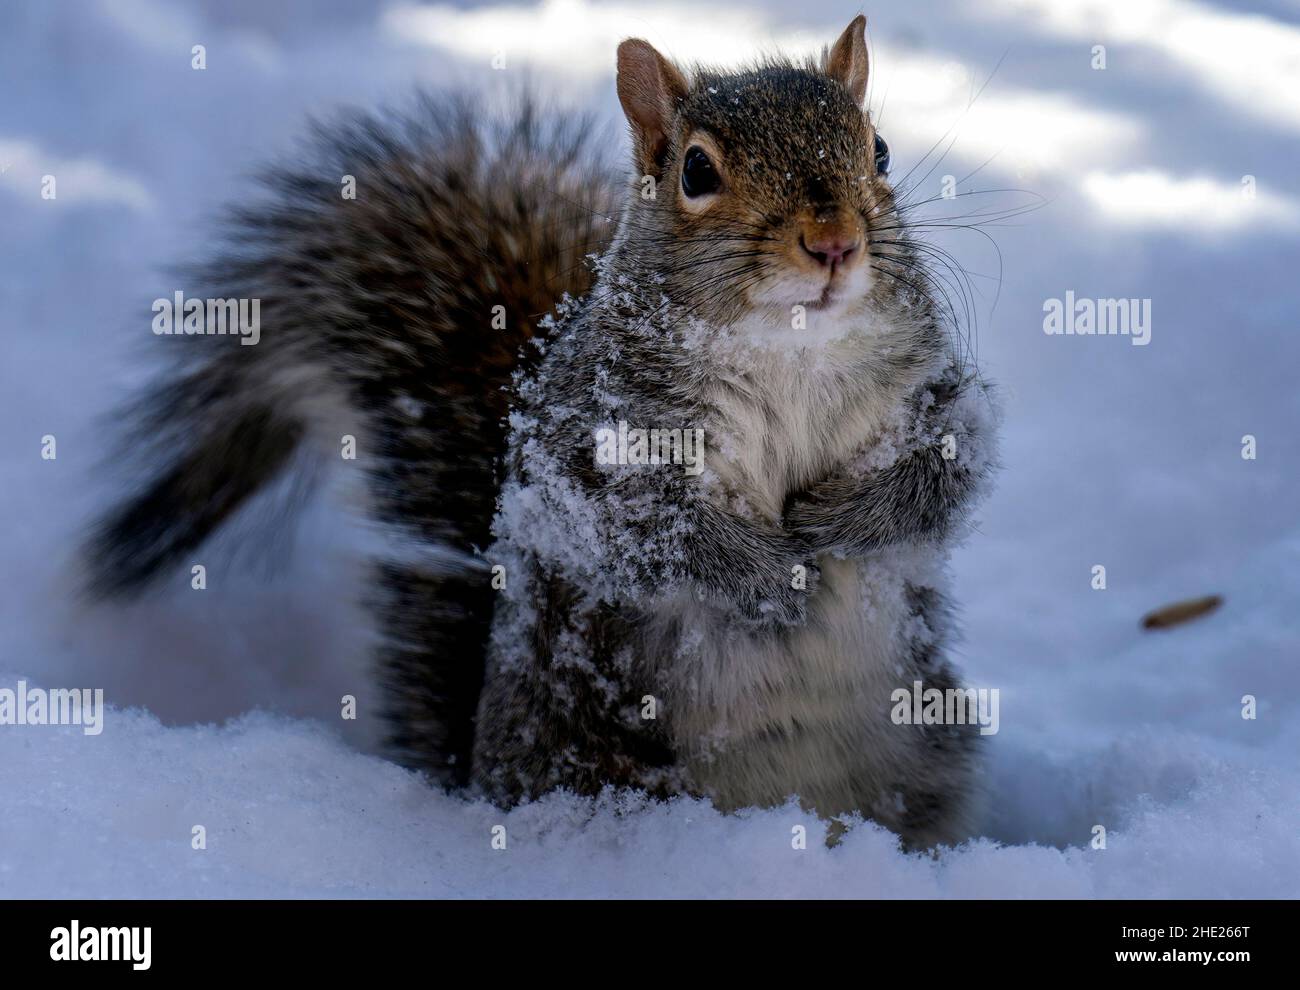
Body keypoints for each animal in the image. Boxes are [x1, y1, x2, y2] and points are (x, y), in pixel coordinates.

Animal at [85, 16, 998, 849]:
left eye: (879, 150)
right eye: (697, 170)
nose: (834, 243)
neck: (792, 350)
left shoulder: (930, 396)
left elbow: (943, 473)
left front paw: (848, 518)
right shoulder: (593, 445)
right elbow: (650, 532)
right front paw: (768, 578)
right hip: (597, 756)